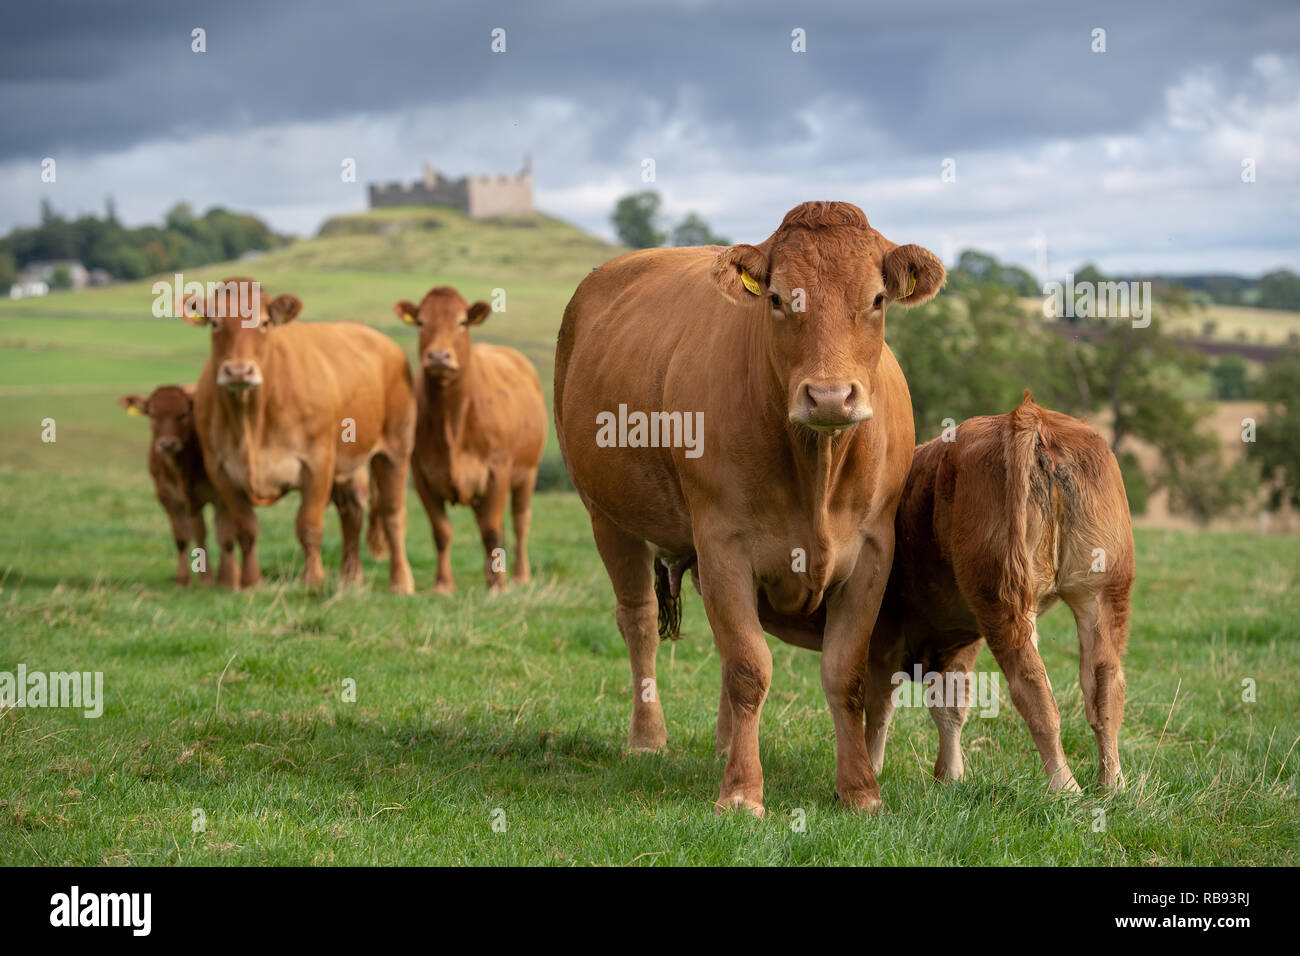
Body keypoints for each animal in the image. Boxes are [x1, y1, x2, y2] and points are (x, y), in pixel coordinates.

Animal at [118, 384, 218, 585]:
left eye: (183, 414)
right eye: (152, 414)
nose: (167, 444)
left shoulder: (198, 497)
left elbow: (200, 532)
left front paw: (206, 578)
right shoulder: (165, 495)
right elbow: (181, 536)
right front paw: (182, 578)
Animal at [186, 277, 416, 593]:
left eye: (265, 322)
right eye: (215, 322)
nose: (238, 371)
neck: (251, 420)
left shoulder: (317, 463)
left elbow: (308, 525)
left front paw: (313, 580)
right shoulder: (221, 471)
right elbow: (246, 527)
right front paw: (251, 582)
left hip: (394, 450)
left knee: (393, 516)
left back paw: (401, 582)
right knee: (352, 514)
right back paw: (351, 577)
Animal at [394, 286, 547, 592]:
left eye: (462, 322)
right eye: (421, 322)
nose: (438, 356)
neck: (452, 421)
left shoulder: (498, 471)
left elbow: (492, 531)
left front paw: (499, 587)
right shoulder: (422, 474)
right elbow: (442, 531)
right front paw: (443, 584)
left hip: (528, 473)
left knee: (519, 522)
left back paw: (520, 576)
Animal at [555, 201, 945, 815]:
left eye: (878, 299)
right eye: (778, 298)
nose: (829, 397)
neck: (814, 465)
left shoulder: (872, 552)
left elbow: (844, 673)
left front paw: (859, 789)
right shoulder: (724, 544)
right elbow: (748, 667)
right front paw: (741, 790)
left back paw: (721, 742)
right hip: (606, 514)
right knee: (638, 621)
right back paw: (647, 738)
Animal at [864, 393, 1135, 791]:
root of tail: (1029, 417)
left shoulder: (884, 629)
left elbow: (880, 703)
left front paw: (872, 768)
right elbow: (948, 704)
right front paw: (949, 776)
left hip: (1003, 601)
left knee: (1034, 690)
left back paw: (1064, 789)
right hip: (1101, 592)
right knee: (1105, 688)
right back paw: (1111, 785)